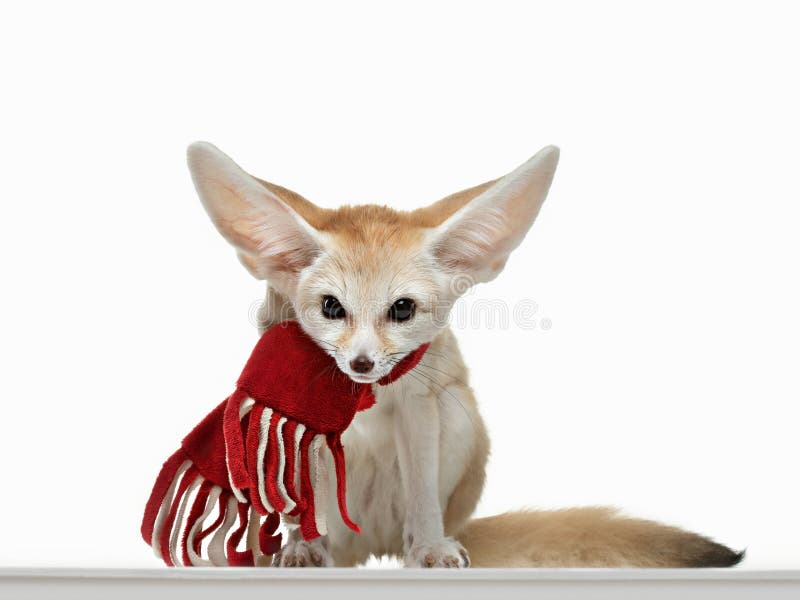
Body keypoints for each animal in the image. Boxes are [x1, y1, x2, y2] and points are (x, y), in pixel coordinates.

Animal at [185, 141, 743, 568]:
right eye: (331, 308)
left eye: (403, 309)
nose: (362, 364)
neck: (361, 399)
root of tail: (366, 548)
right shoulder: (302, 423)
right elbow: (307, 505)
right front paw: (303, 548)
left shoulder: (419, 405)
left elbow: (423, 495)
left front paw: (431, 551)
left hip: (456, 417)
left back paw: (422, 547)